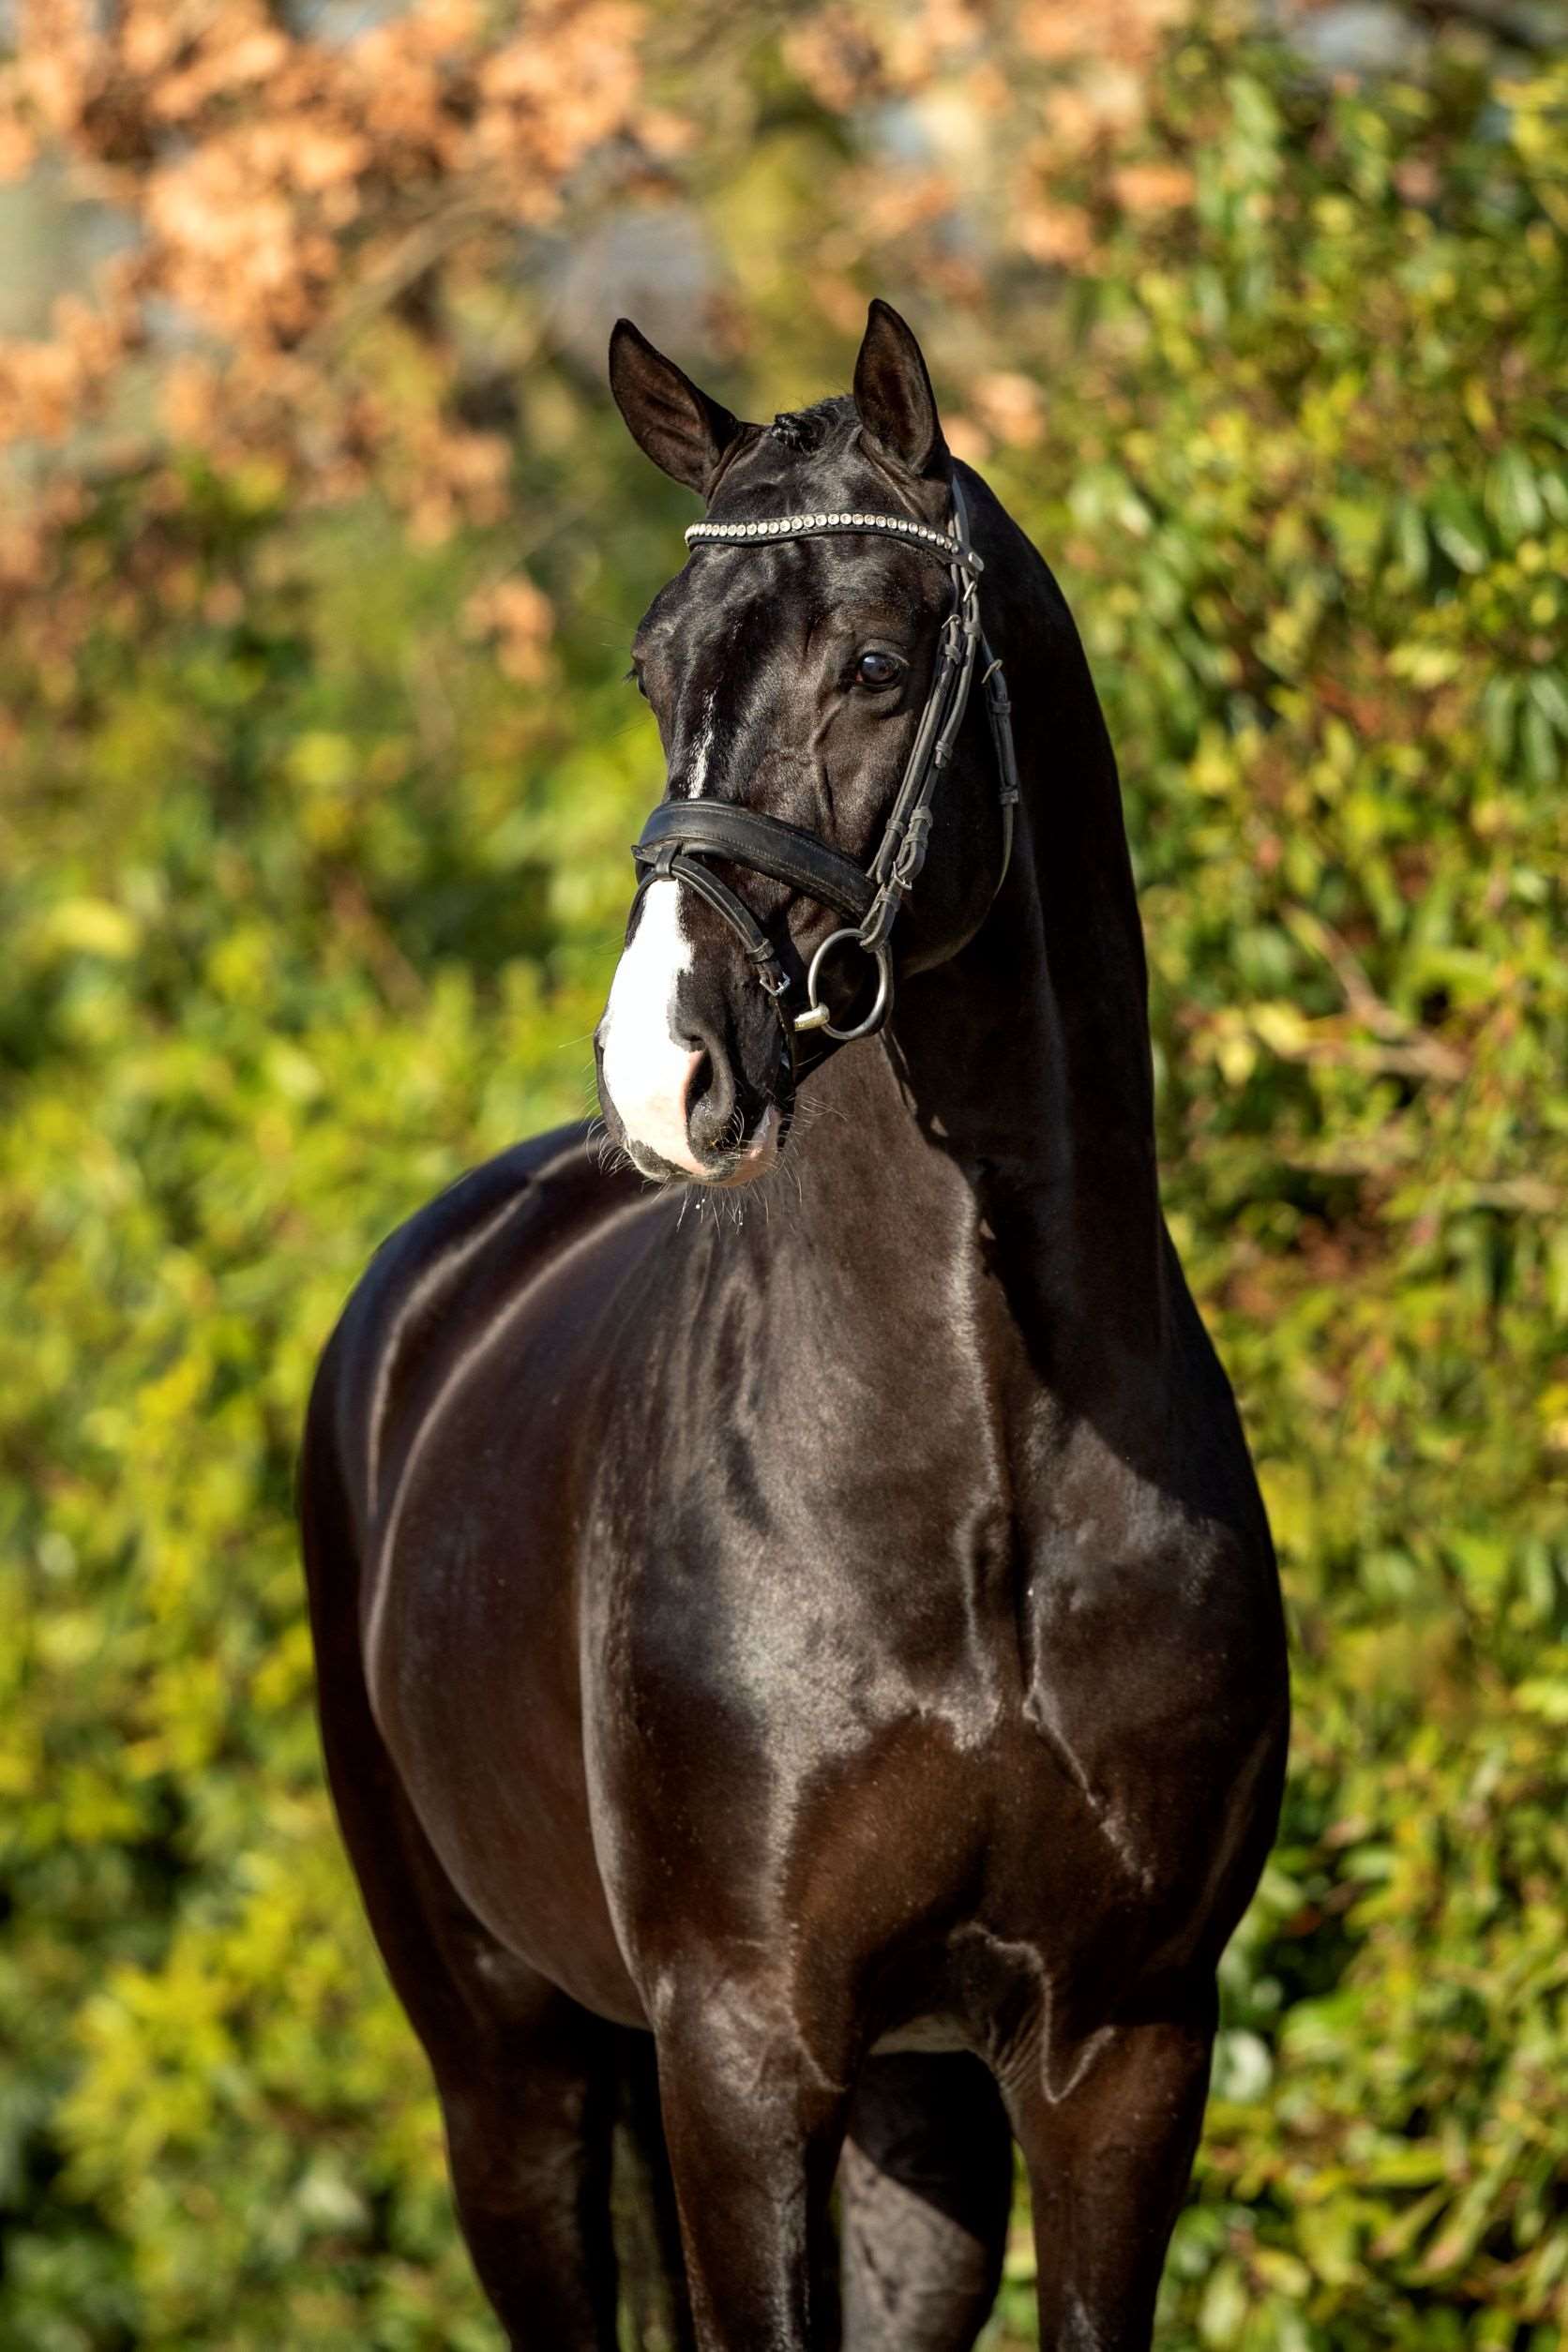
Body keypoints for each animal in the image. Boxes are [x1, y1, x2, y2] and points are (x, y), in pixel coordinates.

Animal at [300, 300, 1289, 2352]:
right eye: (651, 664)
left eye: (880, 664)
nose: (657, 1066)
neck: (980, 1463)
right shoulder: (740, 2049)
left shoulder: (1120, 2048)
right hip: (511, 2081)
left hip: (913, 2123)